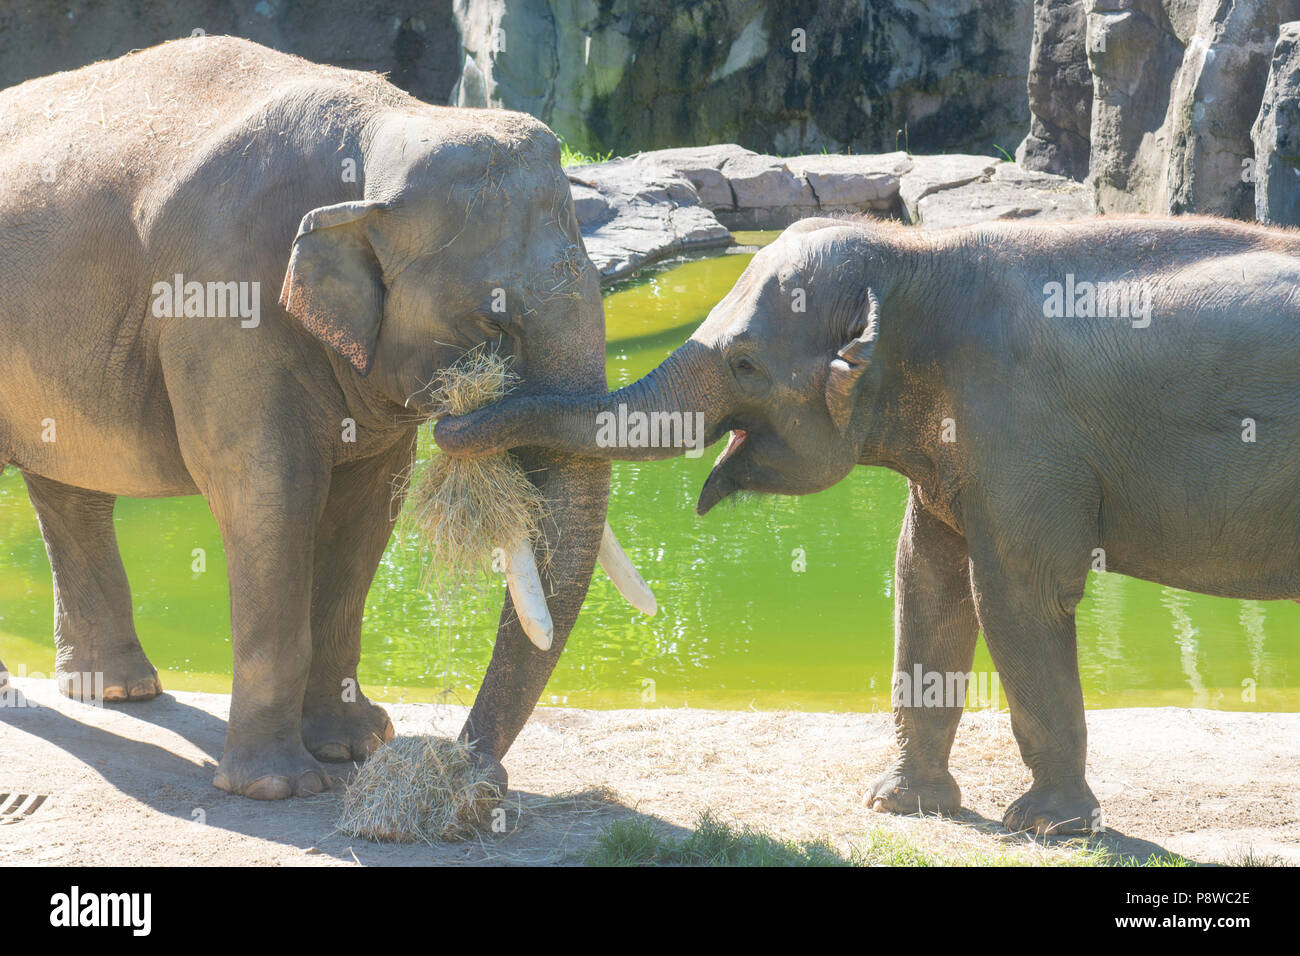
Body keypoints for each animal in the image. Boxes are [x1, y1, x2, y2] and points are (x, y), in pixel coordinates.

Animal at [0, 36, 654, 799]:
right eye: (493, 322)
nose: (476, 771)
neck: (383, 135)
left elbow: (366, 506)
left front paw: (357, 746)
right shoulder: (220, 298)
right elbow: (271, 495)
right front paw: (278, 788)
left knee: (71, 487)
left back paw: (119, 691)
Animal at [437, 214, 1300, 834]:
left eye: (745, 365)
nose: (445, 418)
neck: (918, 255)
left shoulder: (1025, 436)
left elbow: (1016, 594)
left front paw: (1045, 826)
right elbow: (925, 579)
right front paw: (896, 803)